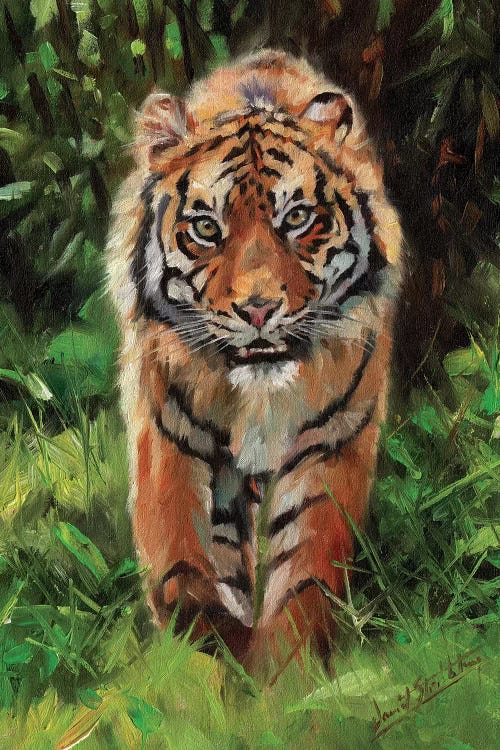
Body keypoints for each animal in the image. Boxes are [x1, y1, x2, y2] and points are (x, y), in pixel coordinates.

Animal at [106, 49, 403, 666]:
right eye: (205, 228)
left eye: (296, 219)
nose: (259, 308)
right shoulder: (171, 441)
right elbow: (185, 567)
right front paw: (215, 661)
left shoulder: (330, 443)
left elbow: (305, 578)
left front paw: (285, 678)